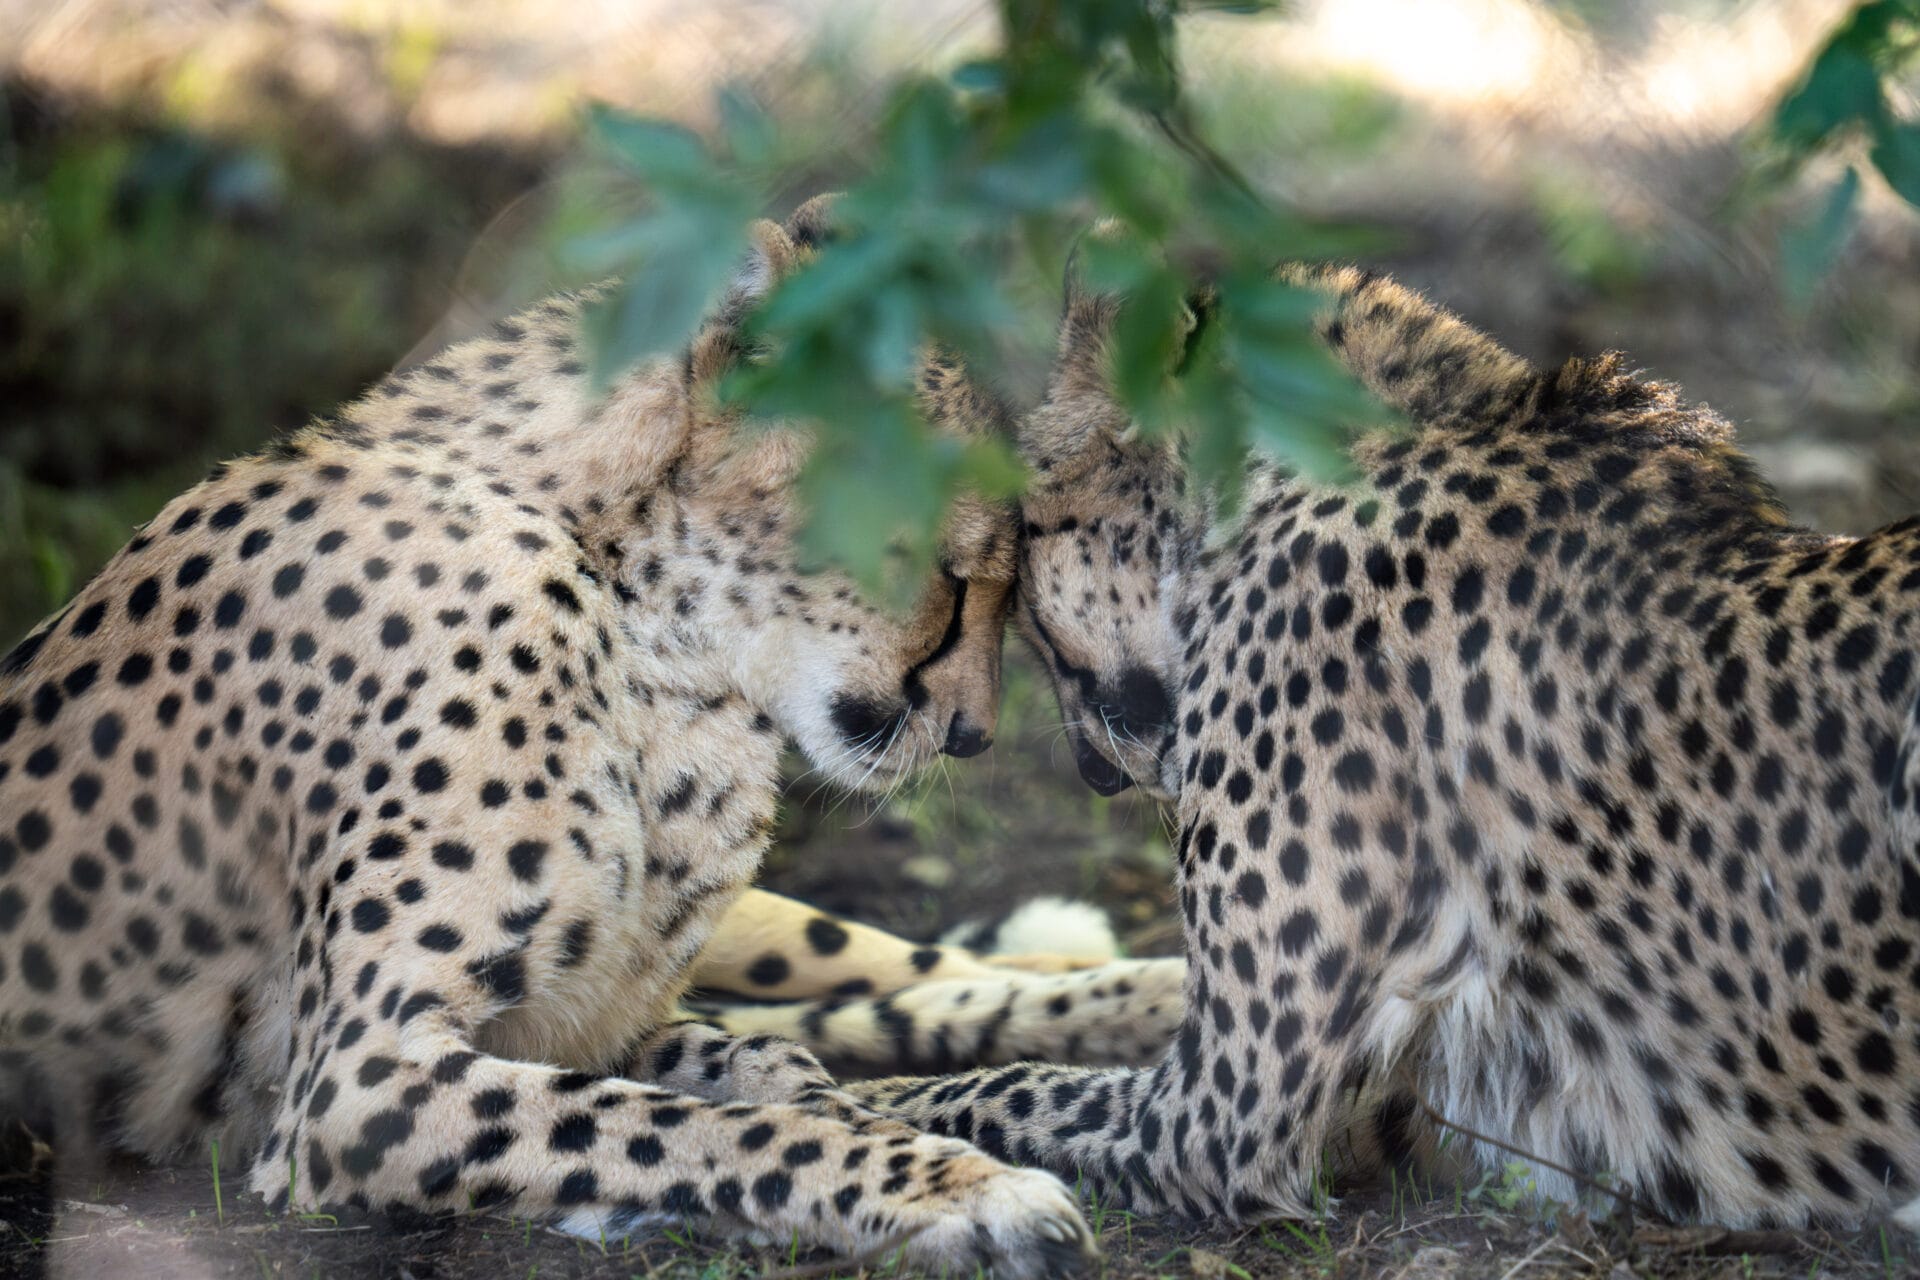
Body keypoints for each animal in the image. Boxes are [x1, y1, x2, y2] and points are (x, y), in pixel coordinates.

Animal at [0, 193, 1112, 1276]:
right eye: (959, 577)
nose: (972, 735)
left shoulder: (585, 1021)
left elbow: (764, 1067)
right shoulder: (357, 1080)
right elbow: (698, 1124)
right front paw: (961, 1186)